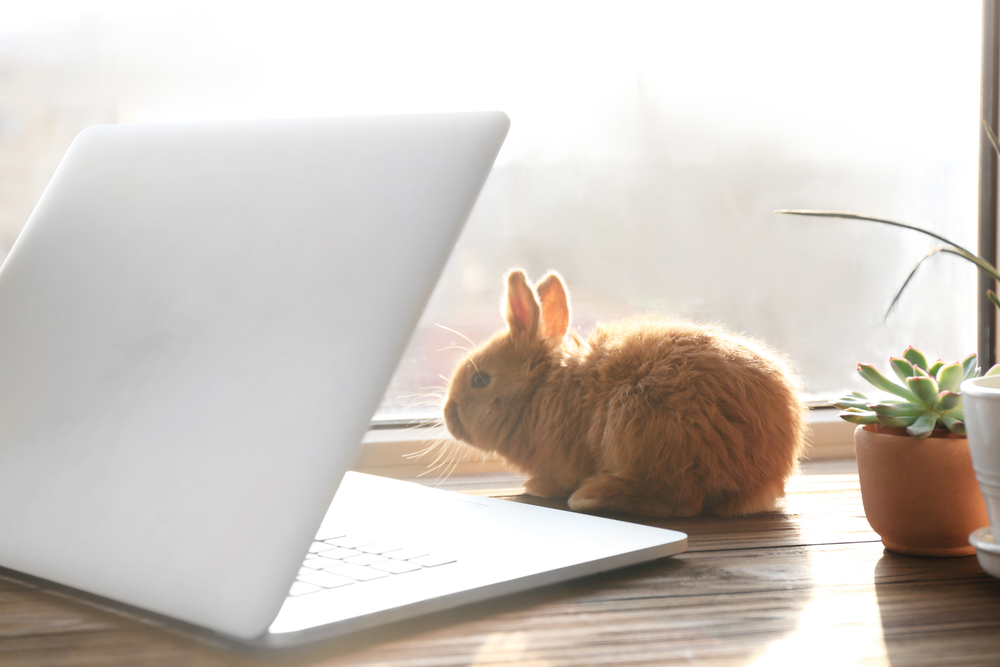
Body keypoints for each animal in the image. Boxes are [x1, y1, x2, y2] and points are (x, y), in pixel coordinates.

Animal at [443, 269, 807, 518]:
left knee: (683, 500)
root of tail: (764, 476)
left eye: (480, 379)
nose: (448, 415)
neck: (540, 389)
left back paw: (593, 495)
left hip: (642, 425)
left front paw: (537, 488)